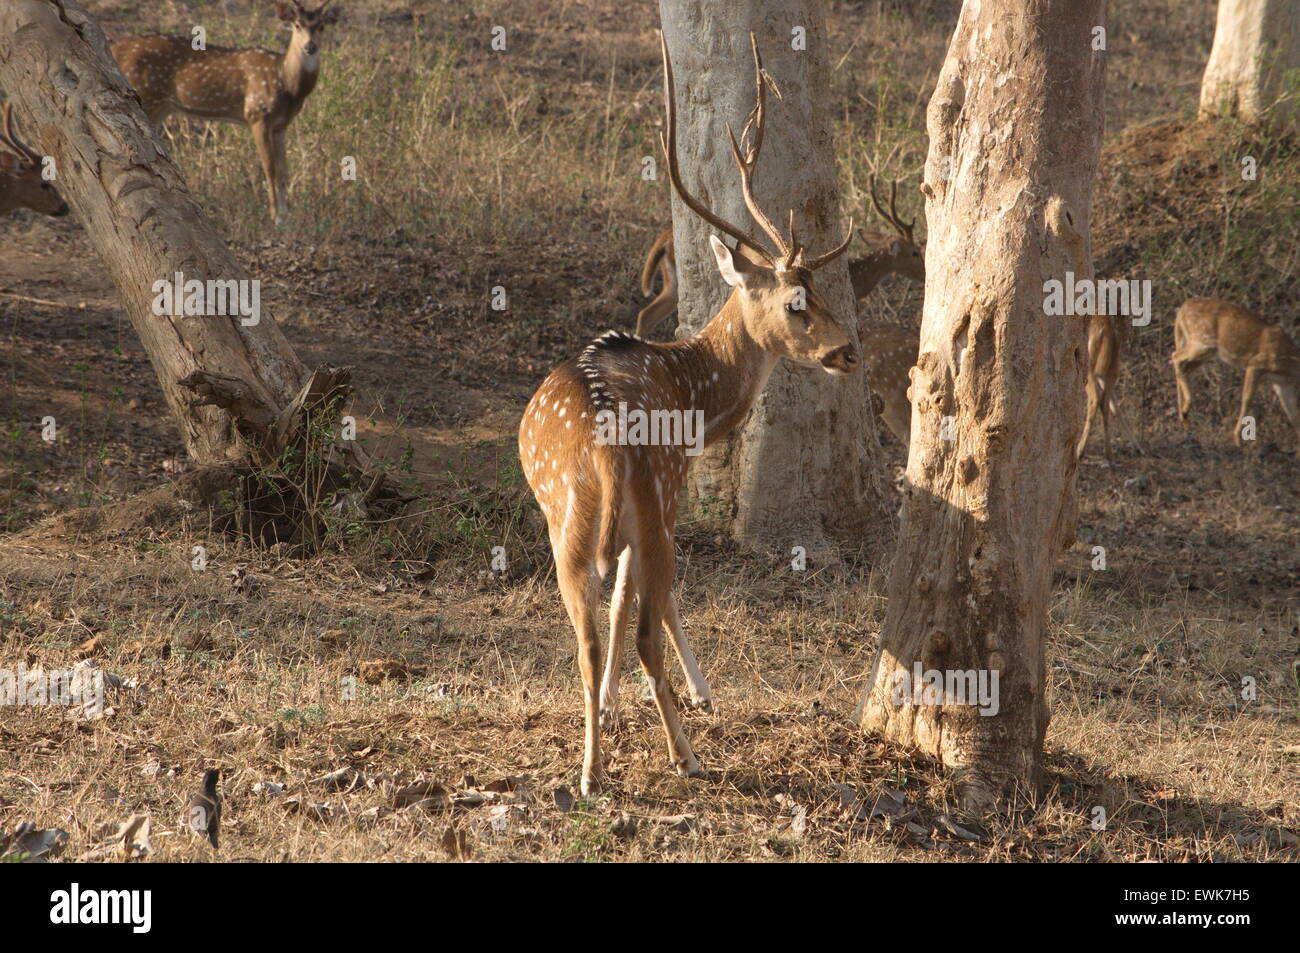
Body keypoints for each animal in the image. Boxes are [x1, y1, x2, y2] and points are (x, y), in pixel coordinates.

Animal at [112, 1, 339, 227]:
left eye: (321, 26)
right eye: (297, 25)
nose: (310, 47)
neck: (287, 84)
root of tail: (115, 47)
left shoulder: (281, 125)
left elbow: (283, 169)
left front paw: (286, 216)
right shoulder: (257, 115)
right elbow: (269, 167)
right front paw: (275, 216)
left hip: (161, 107)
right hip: (146, 94)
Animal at [520, 33, 858, 795]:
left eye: (821, 290)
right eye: (798, 301)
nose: (848, 350)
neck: (690, 388)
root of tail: (607, 447)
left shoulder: (616, 530)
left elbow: (616, 607)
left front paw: (613, 708)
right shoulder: (667, 499)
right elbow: (651, 603)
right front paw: (700, 696)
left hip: (567, 522)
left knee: (585, 634)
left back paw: (589, 771)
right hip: (652, 498)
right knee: (645, 620)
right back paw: (685, 752)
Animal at [635, 177, 923, 339]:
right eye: (915, 251)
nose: (924, 272)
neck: (859, 278)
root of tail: (663, 240)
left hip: (673, 283)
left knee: (646, 314)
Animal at [1172, 298, 1300, 451]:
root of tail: (1182, 309)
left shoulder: (1282, 383)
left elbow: (1293, 414)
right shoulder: (1255, 365)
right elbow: (1247, 400)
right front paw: (1237, 439)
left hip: (1206, 352)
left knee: (1183, 366)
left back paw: (1184, 418)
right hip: (1201, 342)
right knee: (1175, 357)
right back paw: (1185, 412)